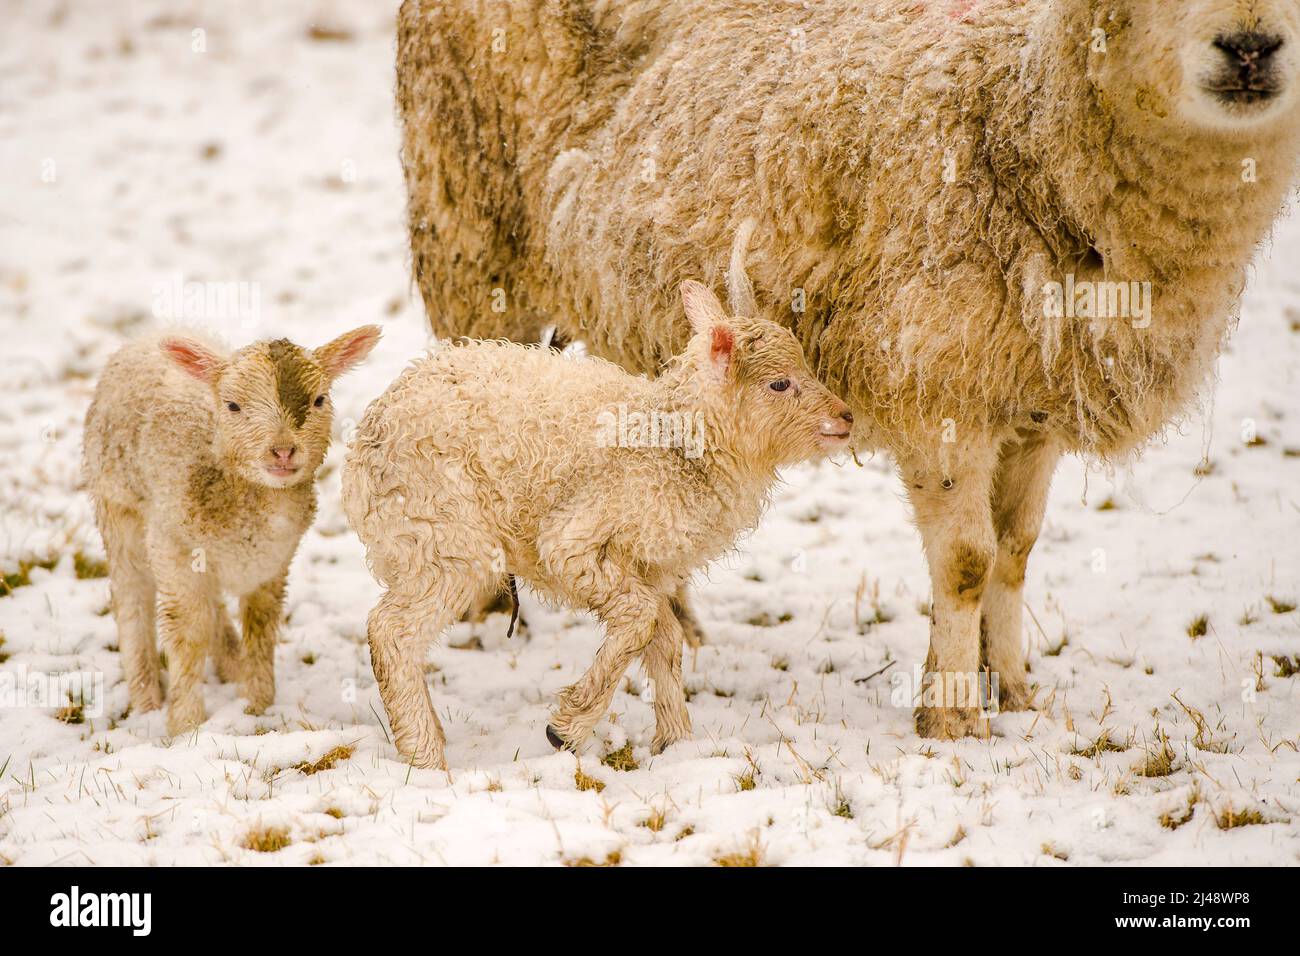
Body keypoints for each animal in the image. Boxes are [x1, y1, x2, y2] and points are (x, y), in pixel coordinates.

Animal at [83, 326, 380, 734]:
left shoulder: (274, 561)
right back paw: (146, 700)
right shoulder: (172, 546)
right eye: (233, 406)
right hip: (118, 503)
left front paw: (258, 705)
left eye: (319, 400)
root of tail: (152, 334)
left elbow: (261, 625)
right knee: (131, 597)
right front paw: (186, 726)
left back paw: (230, 664)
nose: (283, 452)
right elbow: (188, 631)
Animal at [342, 280, 853, 769]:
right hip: (442, 536)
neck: (673, 444)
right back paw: (424, 755)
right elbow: (639, 620)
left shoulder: (649, 568)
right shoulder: (574, 541)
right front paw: (567, 727)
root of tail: (364, 444)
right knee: (391, 633)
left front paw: (676, 742)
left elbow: (664, 640)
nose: (845, 417)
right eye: (780, 384)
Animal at [395, 0, 1300, 737]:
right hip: (467, 232)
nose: (1253, 47)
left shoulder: (1032, 399)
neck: (1017, 123)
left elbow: (1015, 551)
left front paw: (1010, 687)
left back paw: (674, 609)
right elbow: (966, 564)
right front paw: (951, 713)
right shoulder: (941, 386)